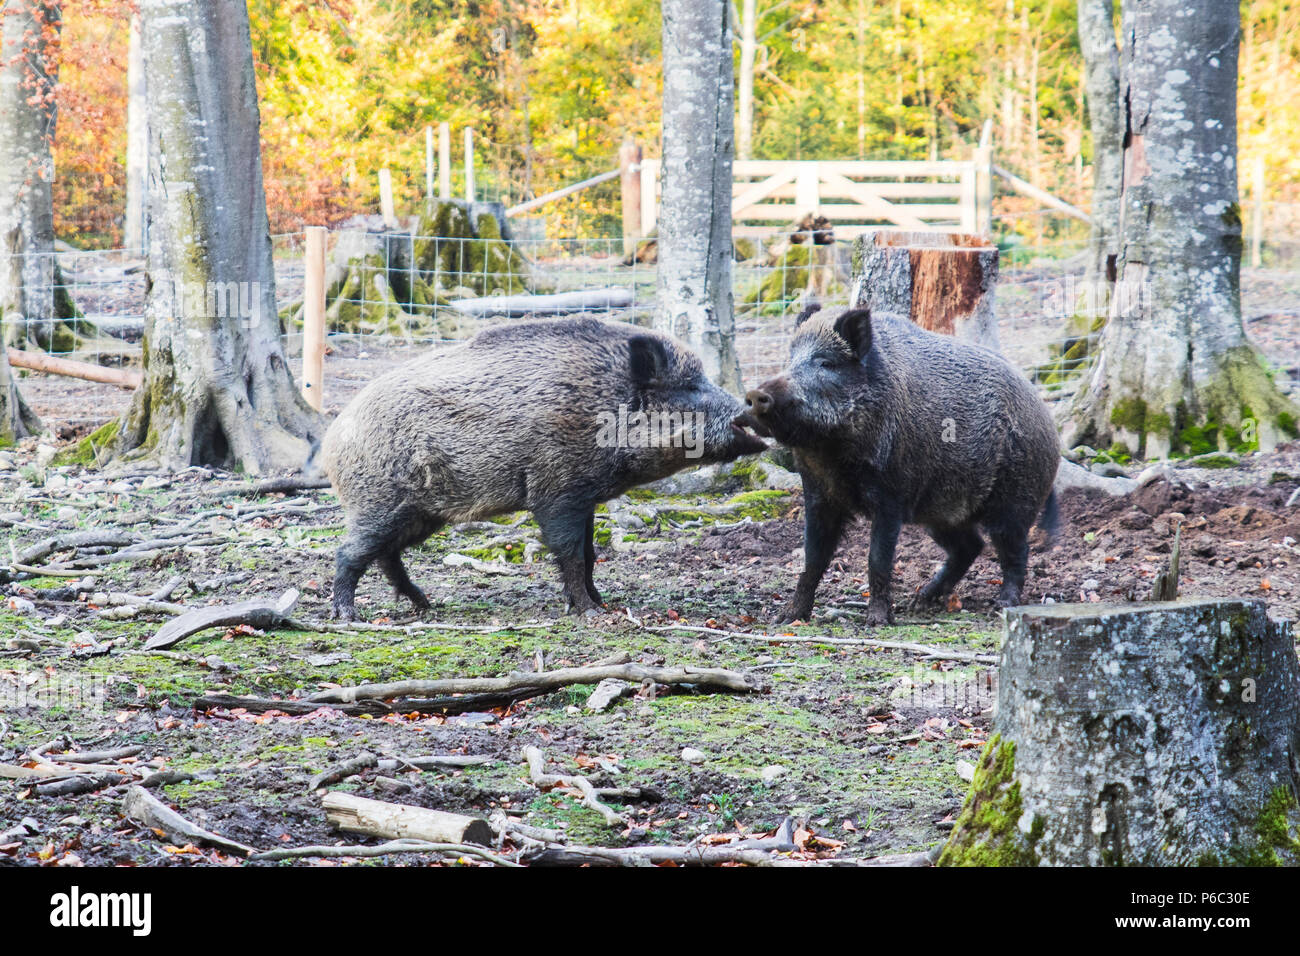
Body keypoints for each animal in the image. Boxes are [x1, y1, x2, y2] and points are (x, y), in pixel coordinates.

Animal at [321, 317, 769, 620]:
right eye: (690, 386)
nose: (750, 405)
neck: (604, 408)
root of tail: (333, 437)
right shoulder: (557, 492)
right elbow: (569, 552)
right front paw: (590, 612)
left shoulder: (586, 498)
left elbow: (589, 553)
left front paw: (601, 601)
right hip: (380, 503)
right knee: (350, 552)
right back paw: (348, 616)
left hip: (421, 514)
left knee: (387, 556)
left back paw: (425, 604)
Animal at [740, 304, 1059, 625]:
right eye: (791, 359)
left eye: (826, 363)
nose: (755, 395)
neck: (834, 453)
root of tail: (1047, 418)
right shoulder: (818, 493)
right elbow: (813, 558)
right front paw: (787, 618)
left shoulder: (891, 495)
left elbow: (877, 559)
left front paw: (877, 621)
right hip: (941, 512)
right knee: (970, 546)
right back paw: (920, 600)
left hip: (1016, 499)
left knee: (1015, 549)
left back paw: (1002, 604)